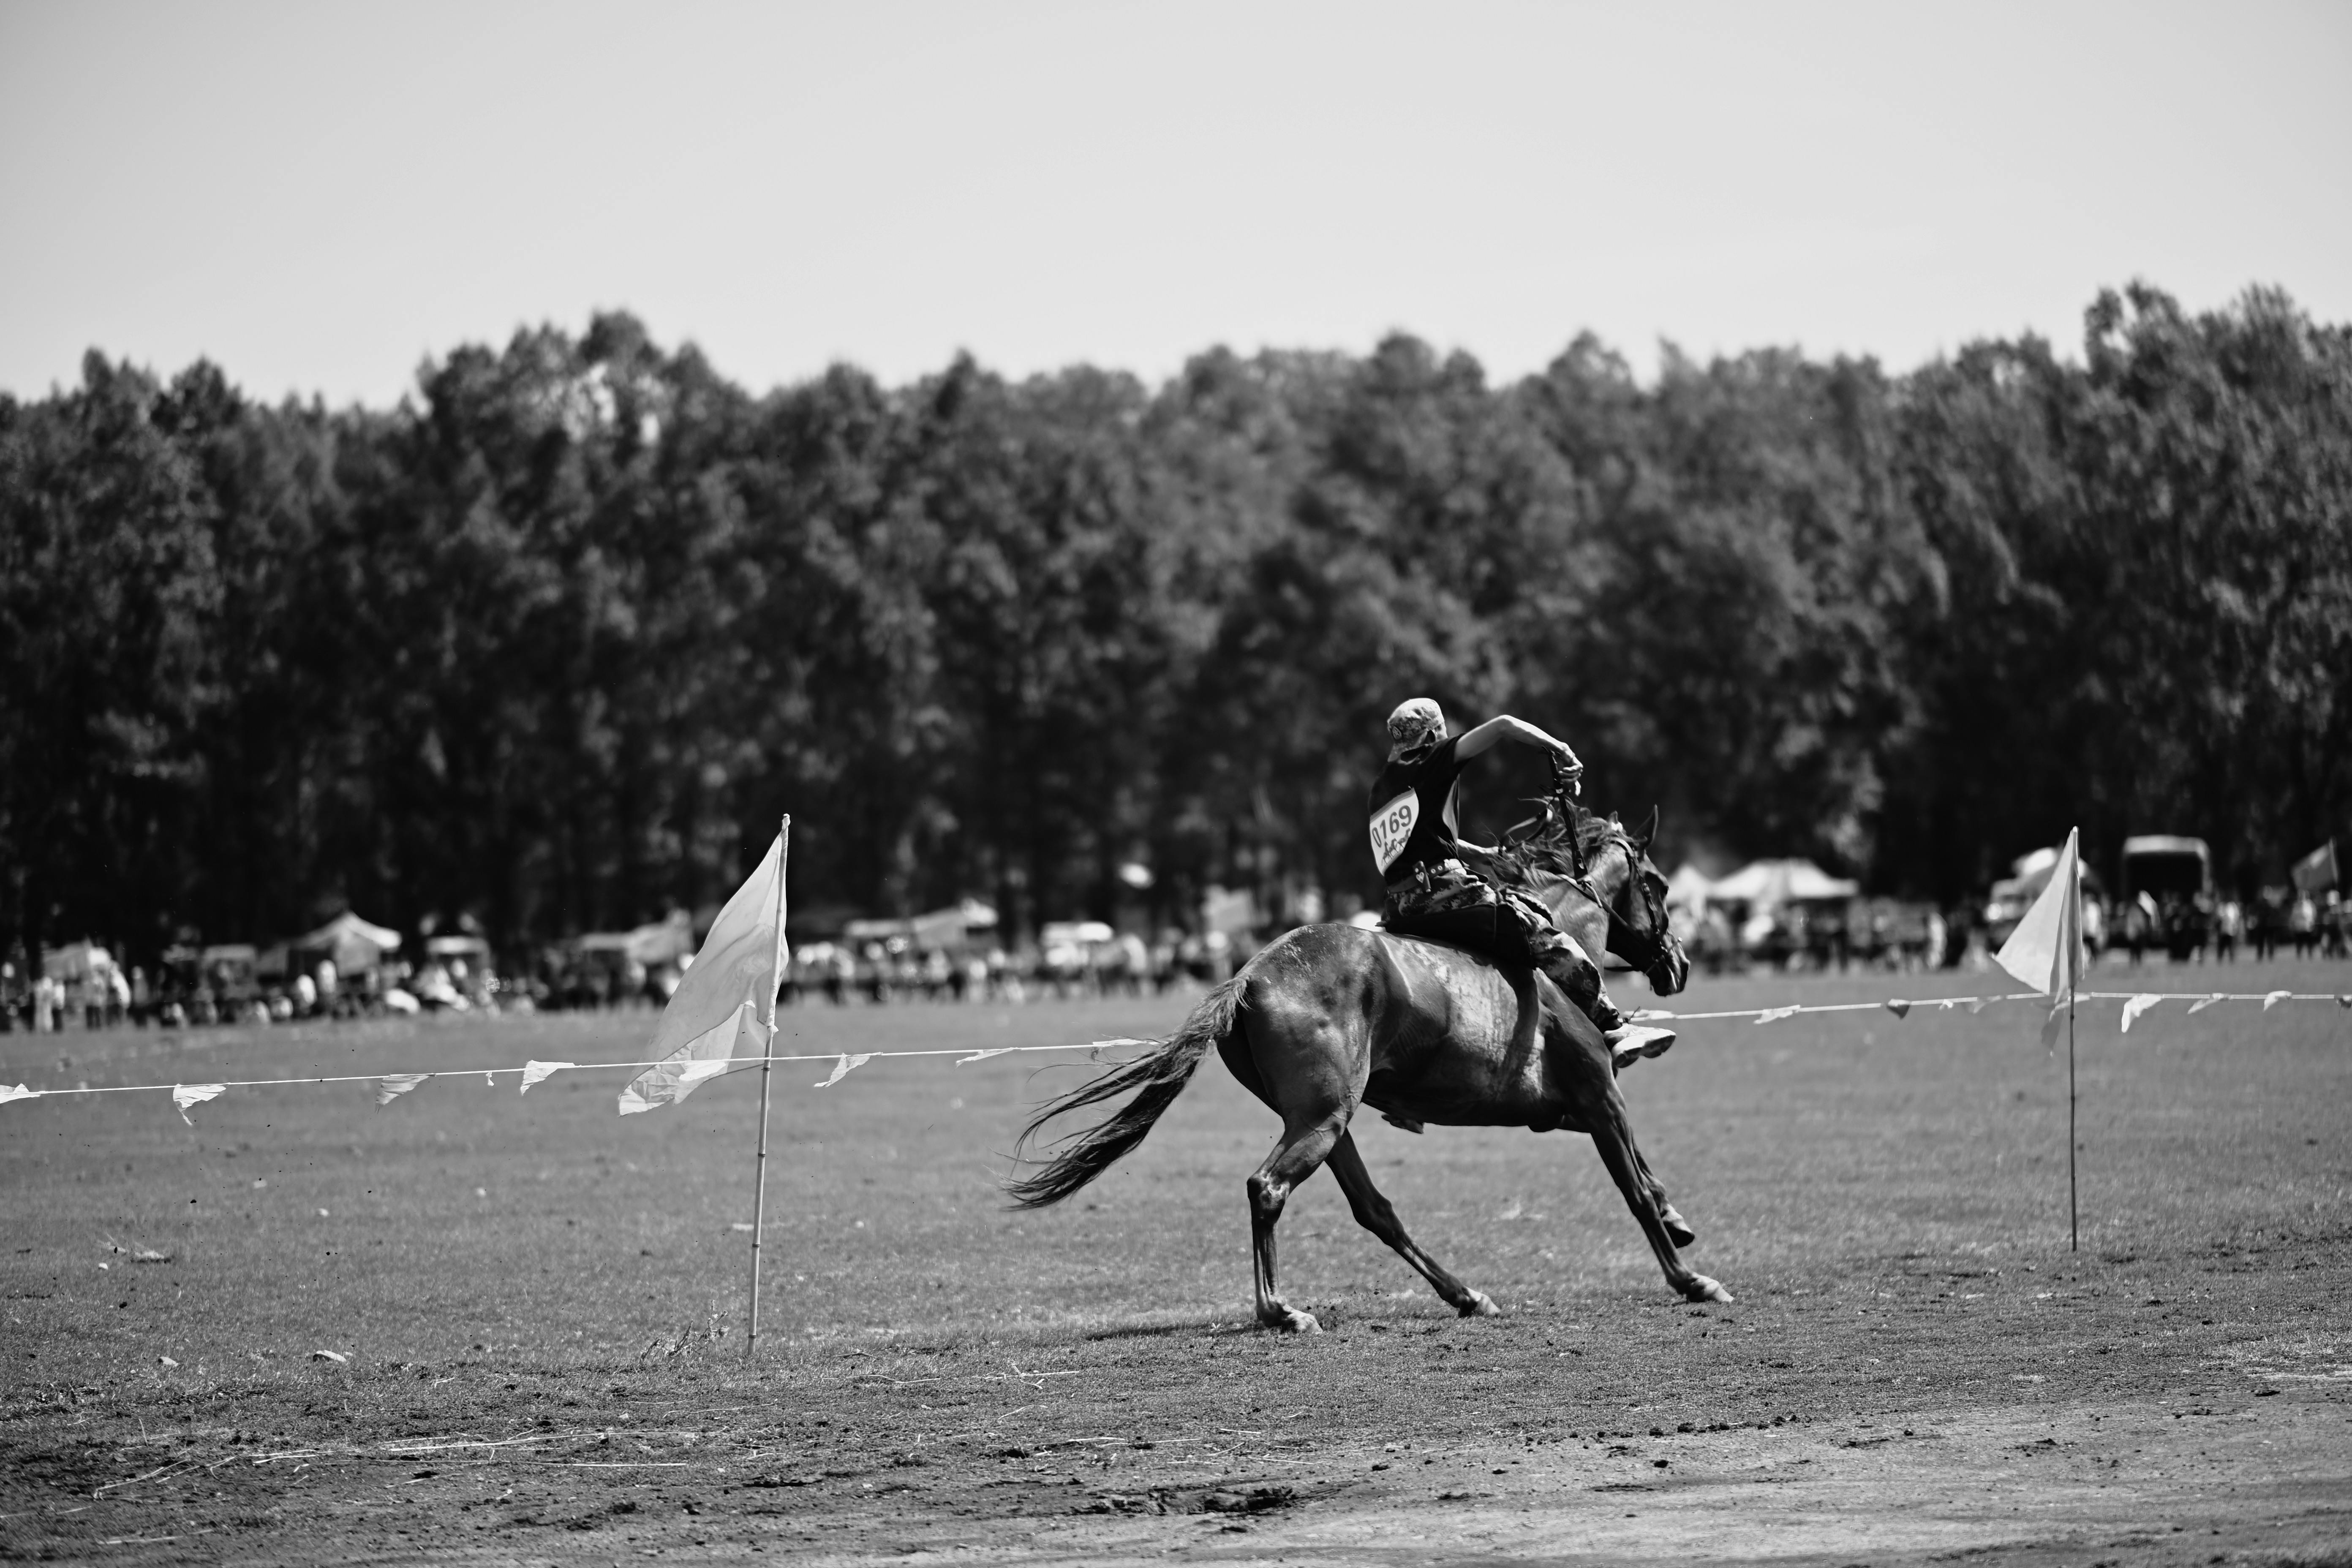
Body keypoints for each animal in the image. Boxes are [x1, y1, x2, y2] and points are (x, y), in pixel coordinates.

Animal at [1009, 804, 1730, 1333]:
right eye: (1659, 885)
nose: (1679, 963)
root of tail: (1249, 975)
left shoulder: (1557, 1111)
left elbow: (1643, 1173)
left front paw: (1677, 1218)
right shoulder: (1598, 1094)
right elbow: (1632, 1187)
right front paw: (1690, 1278)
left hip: (1326, 1122)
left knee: (1375, 1210)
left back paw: (1464, 1295)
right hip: (1324, 1119)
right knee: (1269, 1188)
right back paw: (1281, 1311)